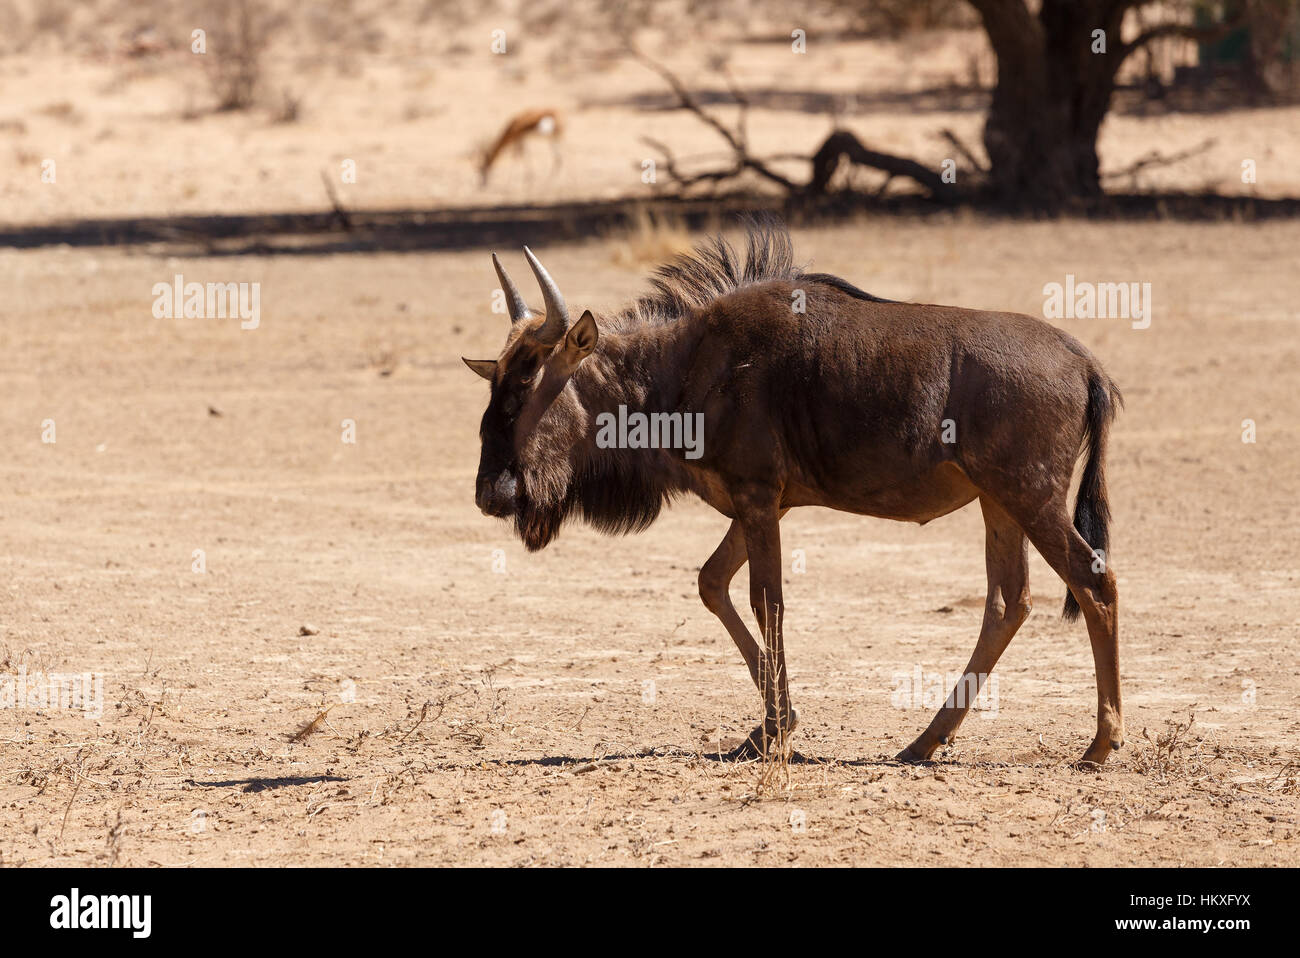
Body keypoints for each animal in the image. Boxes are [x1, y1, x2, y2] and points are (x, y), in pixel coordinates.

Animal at [462, 220, 1125, 766]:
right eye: (497, 383)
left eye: (529, 382)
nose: (492, 493)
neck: (684, 367)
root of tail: (1084, 364)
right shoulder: (757, 503)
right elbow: (712, 583)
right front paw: (768, 728)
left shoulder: (758, 499)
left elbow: (768, 601)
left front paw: (777, 728)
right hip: (1000, 504)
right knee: (1008, 602)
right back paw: (925, 741)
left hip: (1032, 499)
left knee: (1094, 584)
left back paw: (1101, 742)